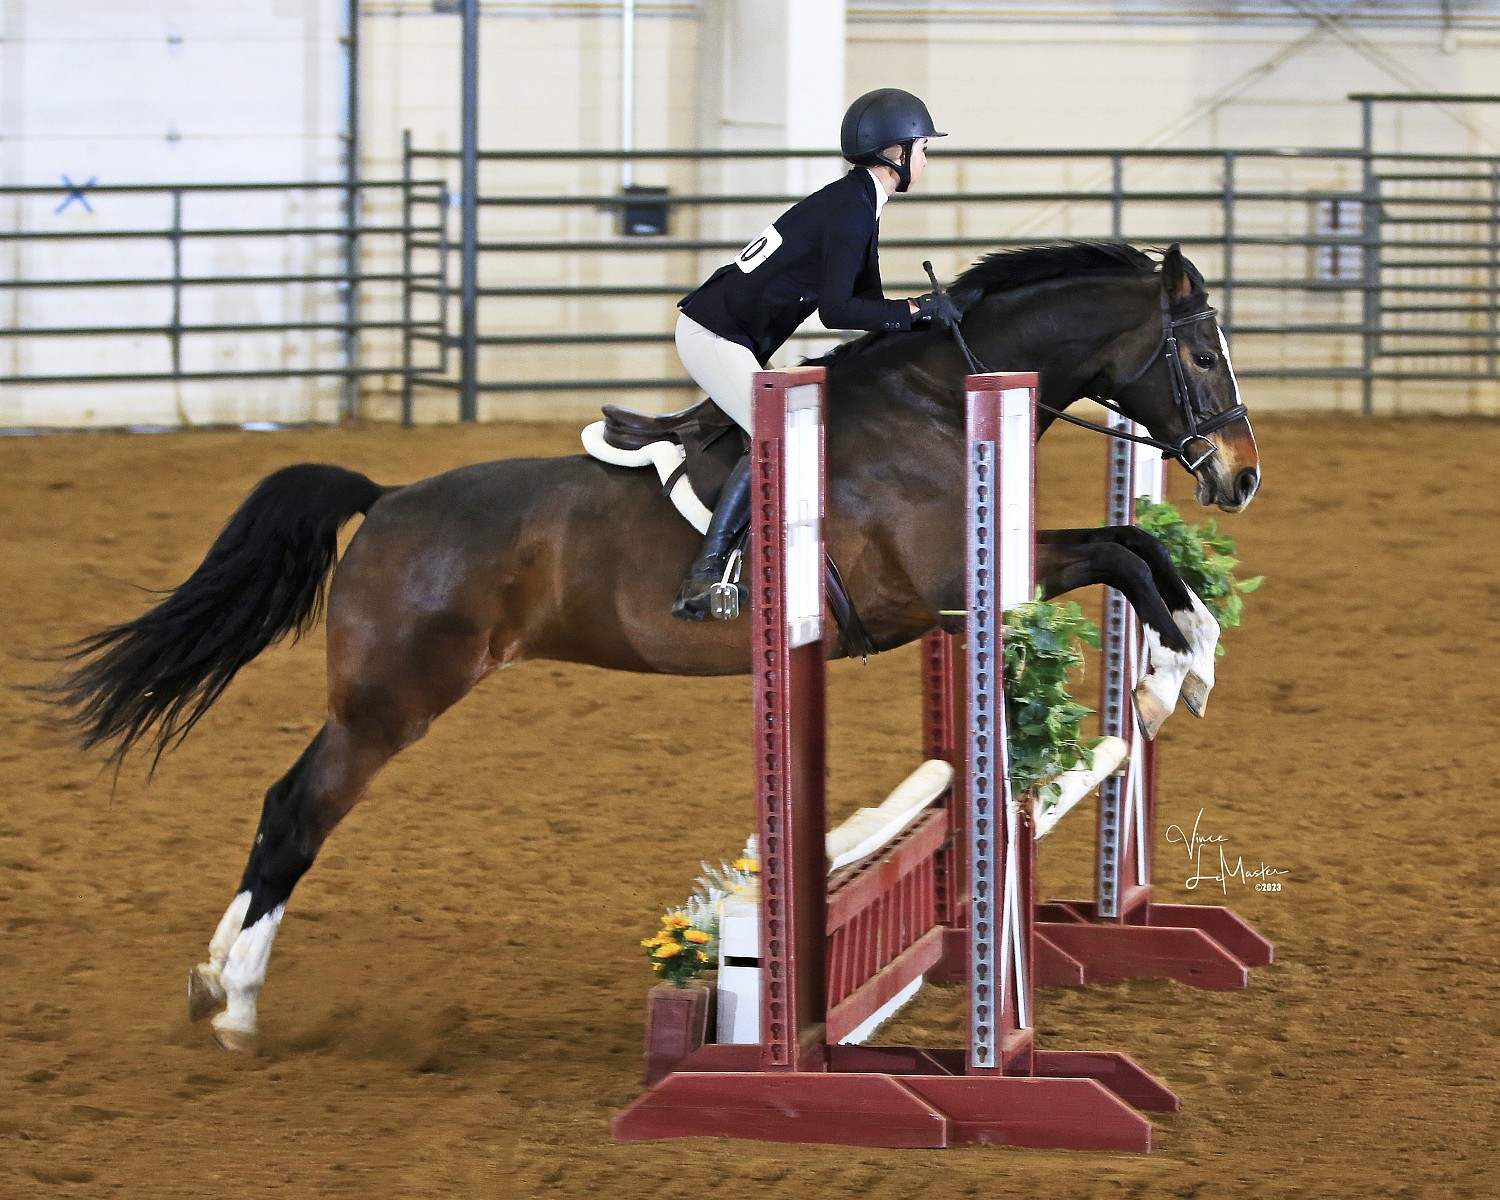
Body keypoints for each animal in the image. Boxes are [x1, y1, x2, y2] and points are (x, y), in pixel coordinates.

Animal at [43, 241, 1259, 1052]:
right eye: (1202, 352)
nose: (1241, 477)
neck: (933, 402)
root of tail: (383, 502)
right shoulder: (954, 587)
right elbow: (1125, 555)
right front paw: (1179, 675)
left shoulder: (973, 588)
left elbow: (1137, 547)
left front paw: (1181, 666)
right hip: (391, 702)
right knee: (296, 811)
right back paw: (234, 1000)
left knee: (288, 810)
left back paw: (219, 985)